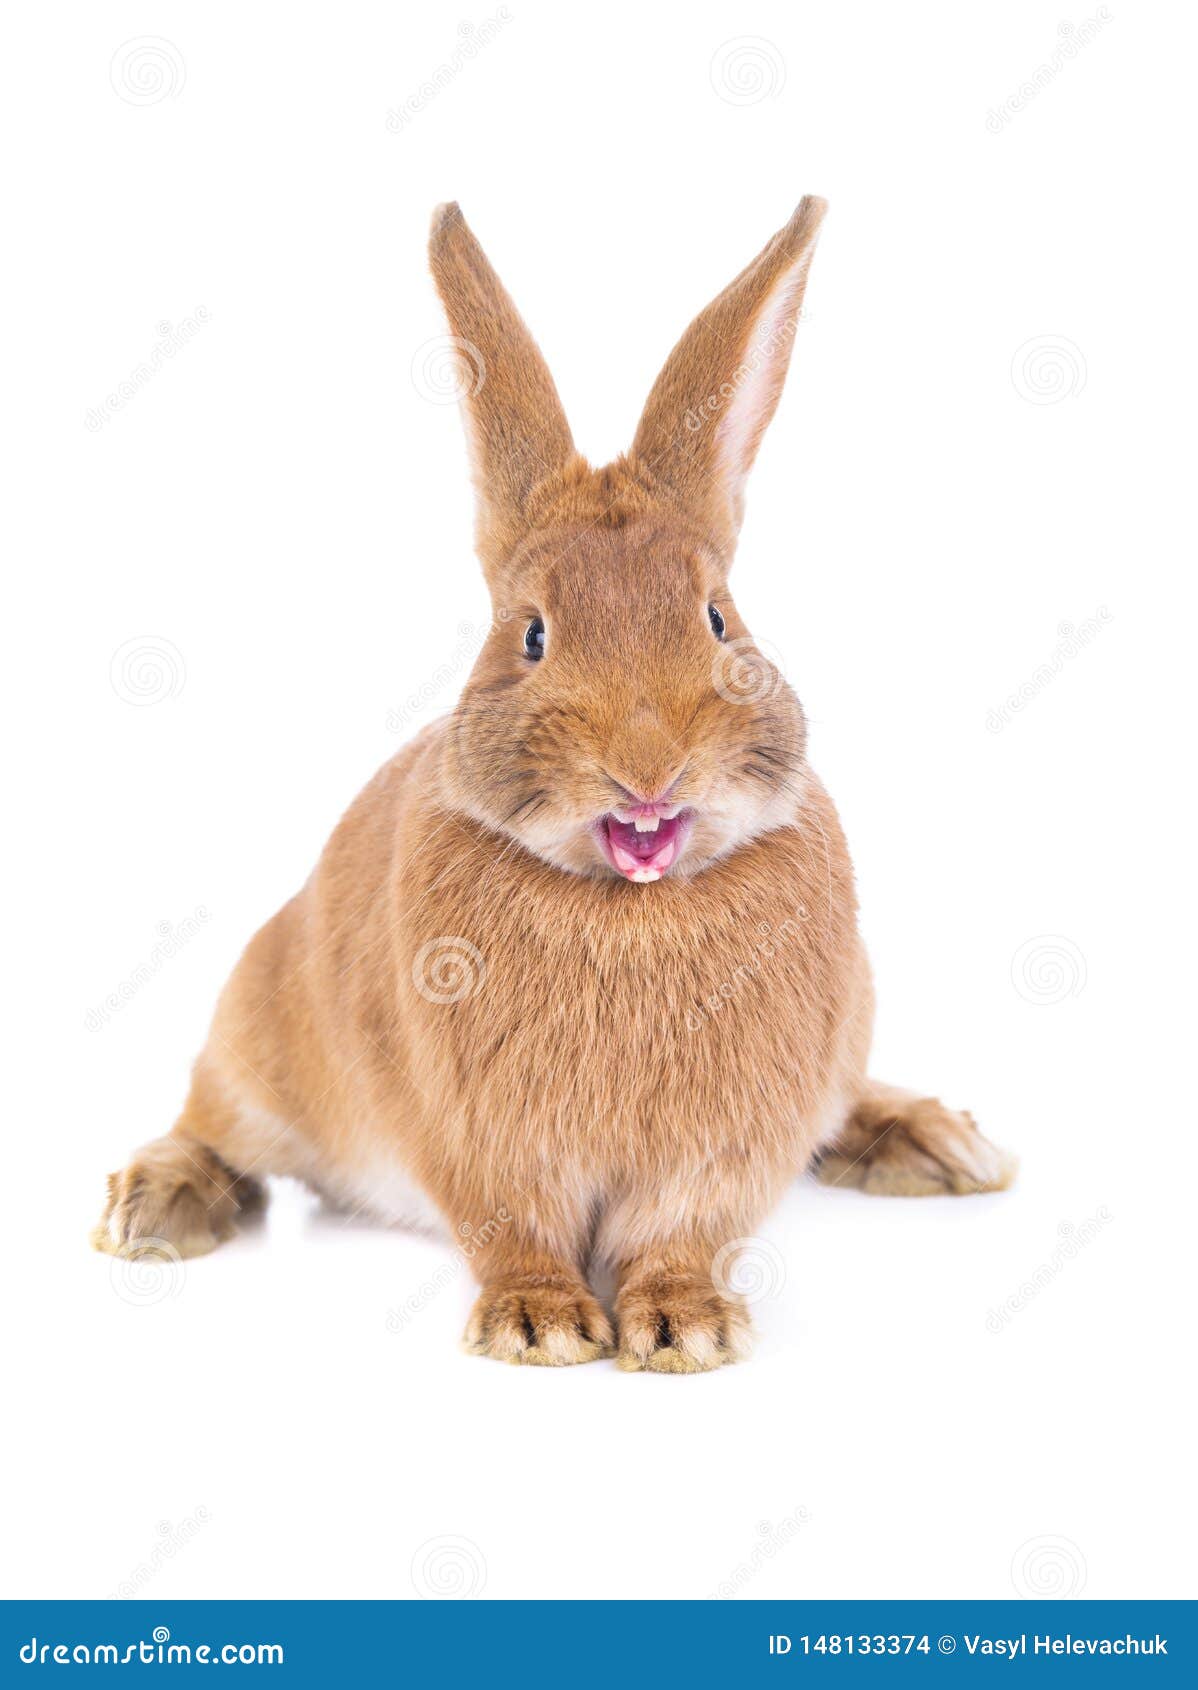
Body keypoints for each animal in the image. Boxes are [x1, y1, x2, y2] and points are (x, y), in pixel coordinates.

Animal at [93, 198, 1014, 1371]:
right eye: (531, 634)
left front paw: (685, 1326)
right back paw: (155, 1209)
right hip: (257, 1034)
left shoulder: (719, 1154)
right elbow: (512, 1228)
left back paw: (938, 1145)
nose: (647, 763)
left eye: (719, 618)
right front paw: (541, 1325)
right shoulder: (478, 1139)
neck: (631, 905)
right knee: (215, 1125)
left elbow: (684, 1236)